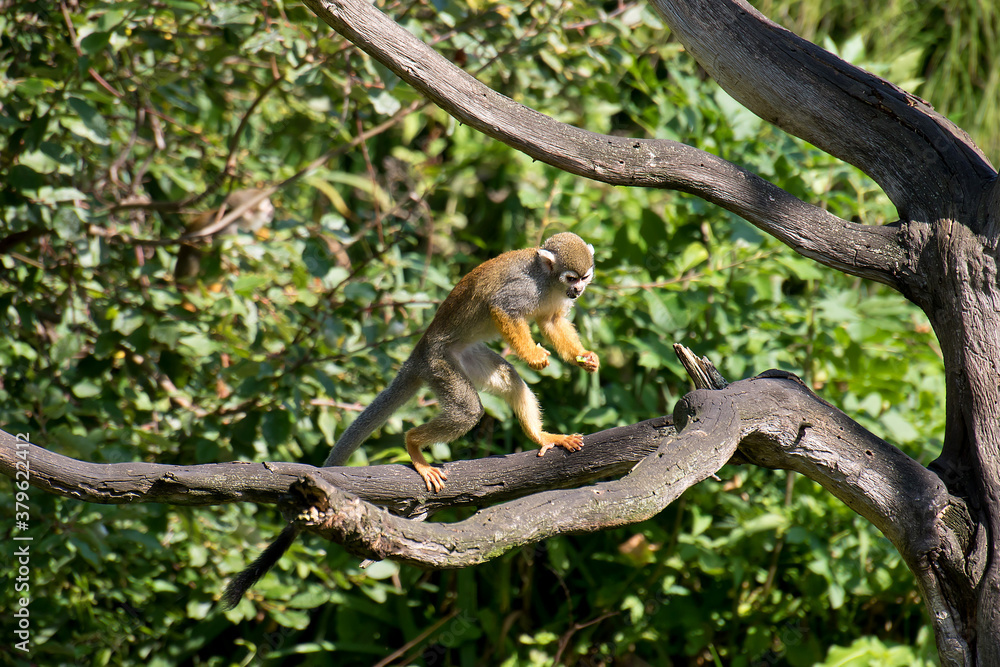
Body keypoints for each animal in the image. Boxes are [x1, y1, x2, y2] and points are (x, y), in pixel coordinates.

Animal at [323, 231, 600, 492]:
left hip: (466, 356)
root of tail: (418, 353)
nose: (578, 291)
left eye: (585, 277)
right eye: (571, 278)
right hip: (438, 364)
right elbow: (502, 308)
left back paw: (542, 436)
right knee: (467, 412)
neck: (549, 281)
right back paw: (413, 444)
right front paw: (533, 355)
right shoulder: (526, 287)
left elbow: (551, 321)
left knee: (509, 379)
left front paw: (584, 357)